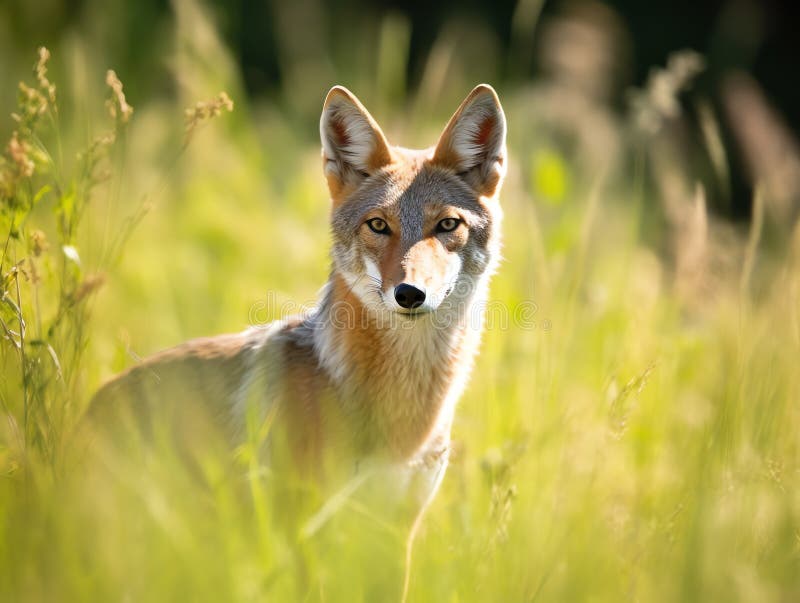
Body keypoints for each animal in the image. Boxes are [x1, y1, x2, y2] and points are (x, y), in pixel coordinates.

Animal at [89, 83, 507, 598]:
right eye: (378, 225)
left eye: (447, 225)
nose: (409, 293)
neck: (402, 419)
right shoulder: (305, 533)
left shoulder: (394, 537)